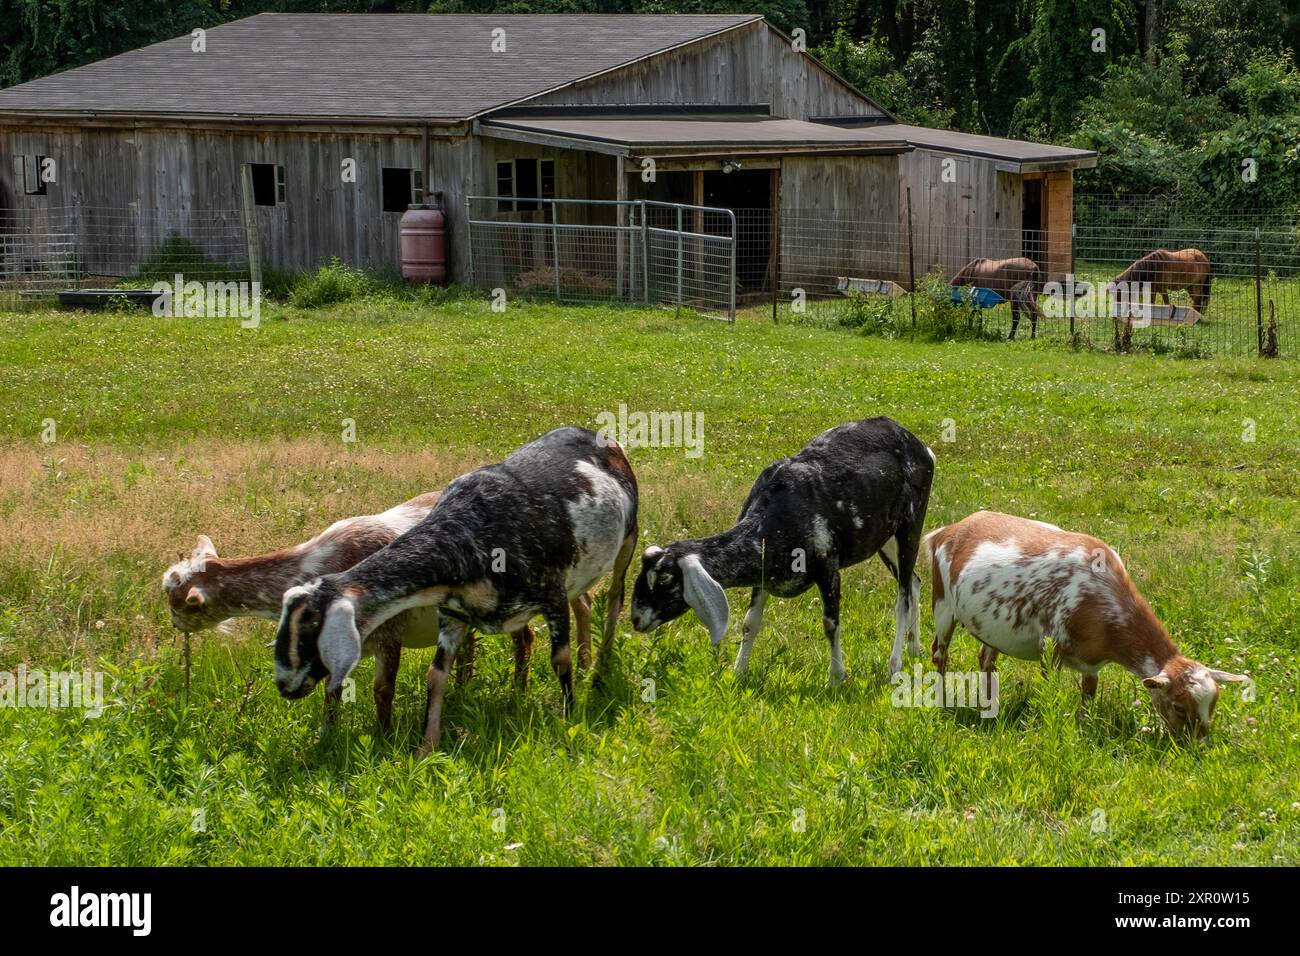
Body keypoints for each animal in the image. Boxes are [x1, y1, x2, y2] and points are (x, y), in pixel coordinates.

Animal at [163, 492, 593, 728]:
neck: (323, 562)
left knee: (530, 635)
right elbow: (333, 691)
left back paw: (522, 689)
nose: (173, 626)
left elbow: (382, 690)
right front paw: (327, 736)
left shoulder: (389, 635)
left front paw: (383, 739)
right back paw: (464, 686)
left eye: (179, 603)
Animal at [272, 426, 639, 754]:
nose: (284, 685)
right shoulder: (453, 613)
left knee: (615, 597)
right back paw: (587, 662)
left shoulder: (552, 595)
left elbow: (560, 660)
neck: (470, 535)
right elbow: (436, 675)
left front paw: (569, 719)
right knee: (586, 600)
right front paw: (426, 747)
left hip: (628, 540)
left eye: (309, 629)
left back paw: (602, 667)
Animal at [630, 417, 935, 684]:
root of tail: (920, 446)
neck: (778, 513)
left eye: (665, 579)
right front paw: (738, 673)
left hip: (910, 526)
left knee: (903, 597)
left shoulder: (828, 568)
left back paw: (895, 665)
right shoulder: (763, 573)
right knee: (915, 582)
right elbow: (750, 623)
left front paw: (836, 679)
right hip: (885, 540)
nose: (636, 619)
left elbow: (830, 624)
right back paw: (914, 649)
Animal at [926, 511, 1247, 738]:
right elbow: (1049, 689)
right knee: (940, 653)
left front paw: (1083, 727)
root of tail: (948, 530)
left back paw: (990, 704)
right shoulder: (1051, 646)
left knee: (986, 658)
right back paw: (942, 700)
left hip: (990, 626)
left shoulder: (1092, 662)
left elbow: (1089, 694)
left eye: (1213, 704)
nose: (1199, 745)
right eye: (1180, 707)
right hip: (942, 603)